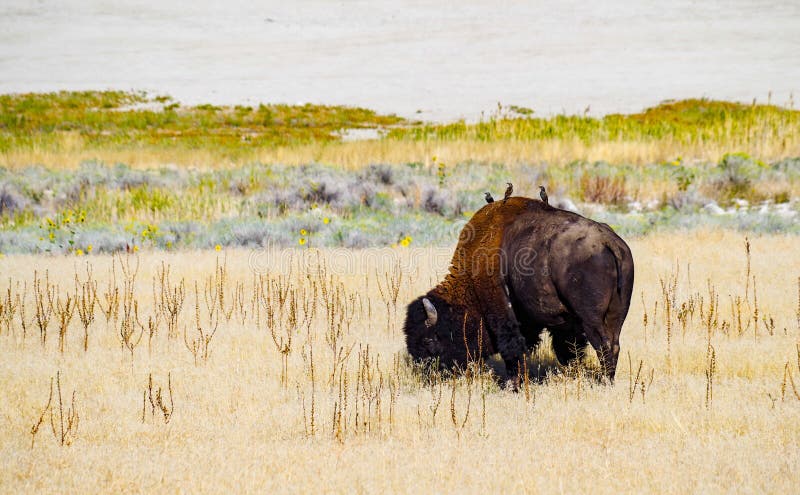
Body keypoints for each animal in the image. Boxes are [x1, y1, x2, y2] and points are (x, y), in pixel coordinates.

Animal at [403, 196, 634, 386]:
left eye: (429, 340)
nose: (426, 372)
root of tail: (608, 241)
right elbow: (565, 349)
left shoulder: (502, 309)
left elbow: (513, 347)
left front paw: (512, 384)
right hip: (617, 314)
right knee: (613, 344)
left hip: (591, 319)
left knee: (604, 346)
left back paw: (604, 381)